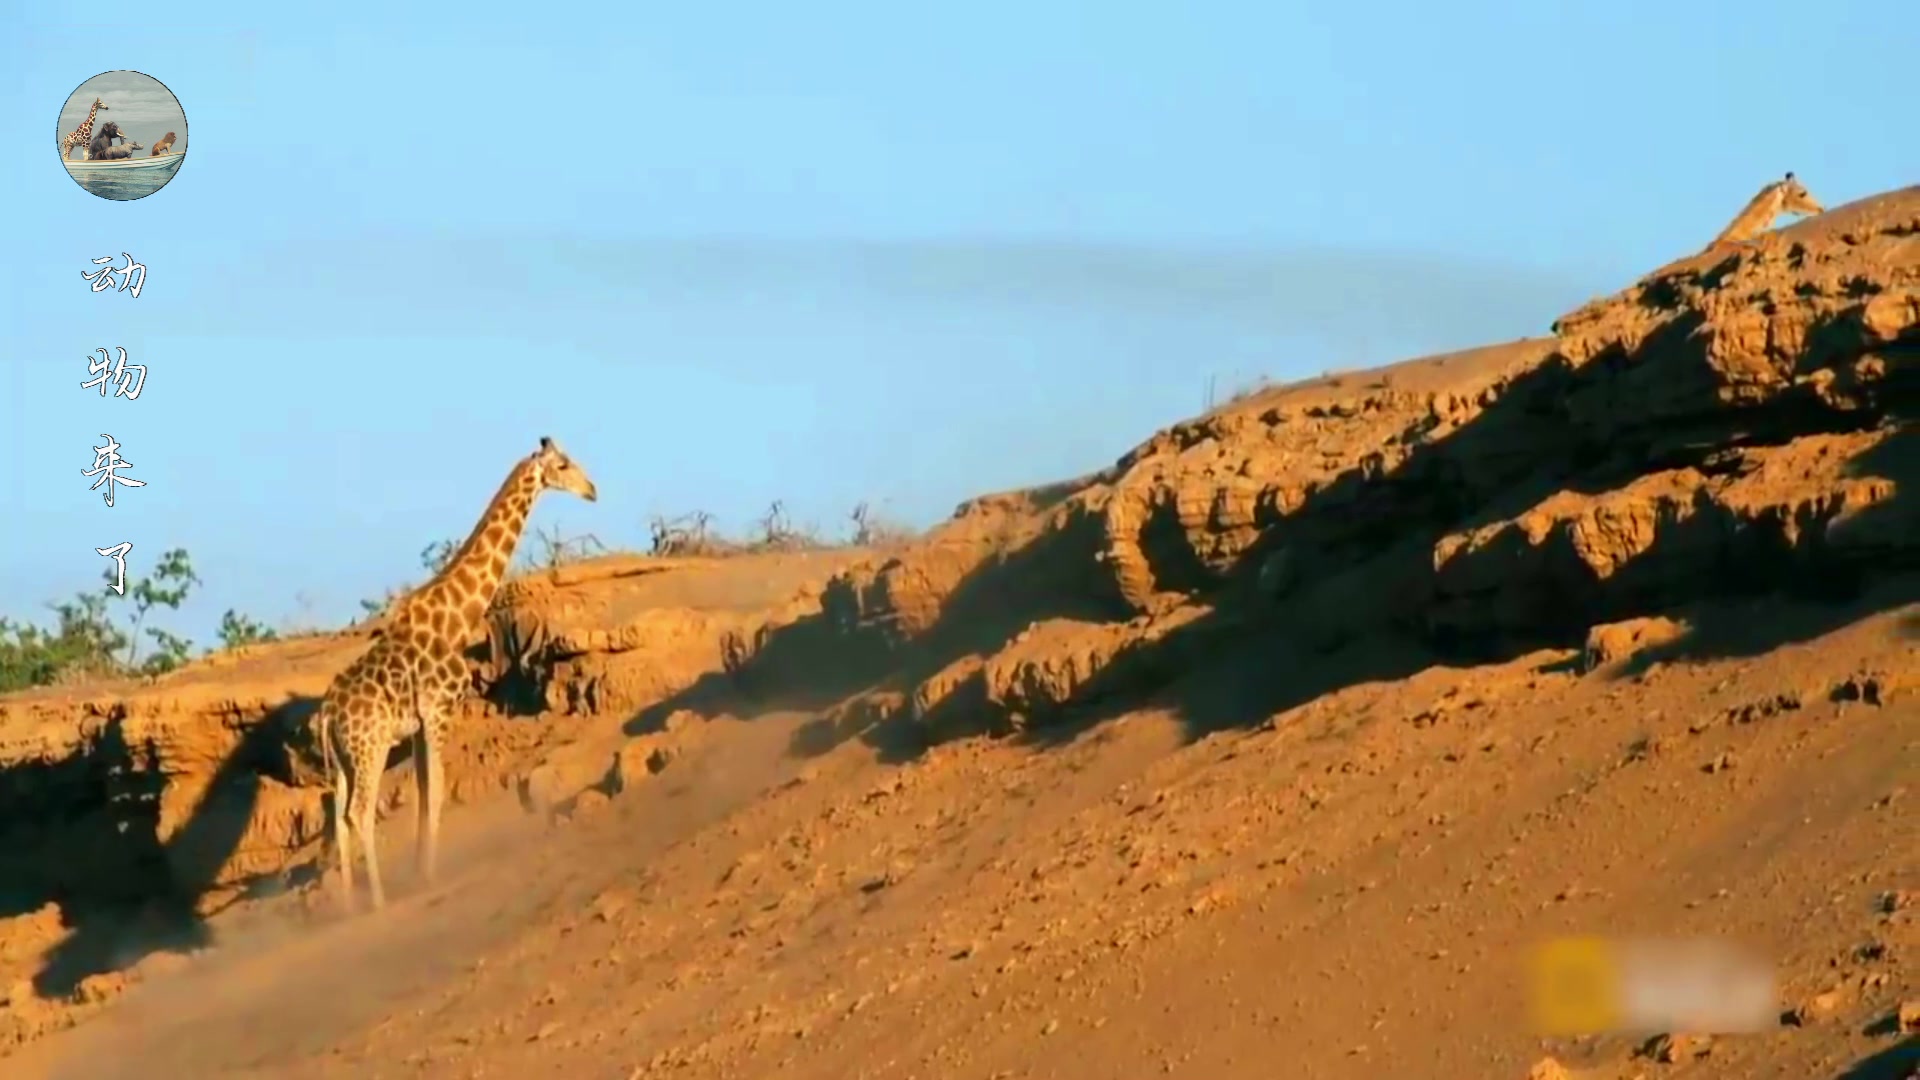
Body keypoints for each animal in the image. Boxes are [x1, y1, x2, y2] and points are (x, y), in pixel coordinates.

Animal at [315, 436, 598, 912]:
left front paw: (419, 869)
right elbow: (438, 788)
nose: (592, 490)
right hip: (370, 749)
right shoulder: (439, 710)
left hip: (340, 761)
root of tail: (326, 715)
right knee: (358, 813)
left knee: (338, 819)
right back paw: (378, 901)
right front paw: (429, 876)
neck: (459, 614)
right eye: (562, 465)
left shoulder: (418, 724)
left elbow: (423, 792)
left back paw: (351, 905)